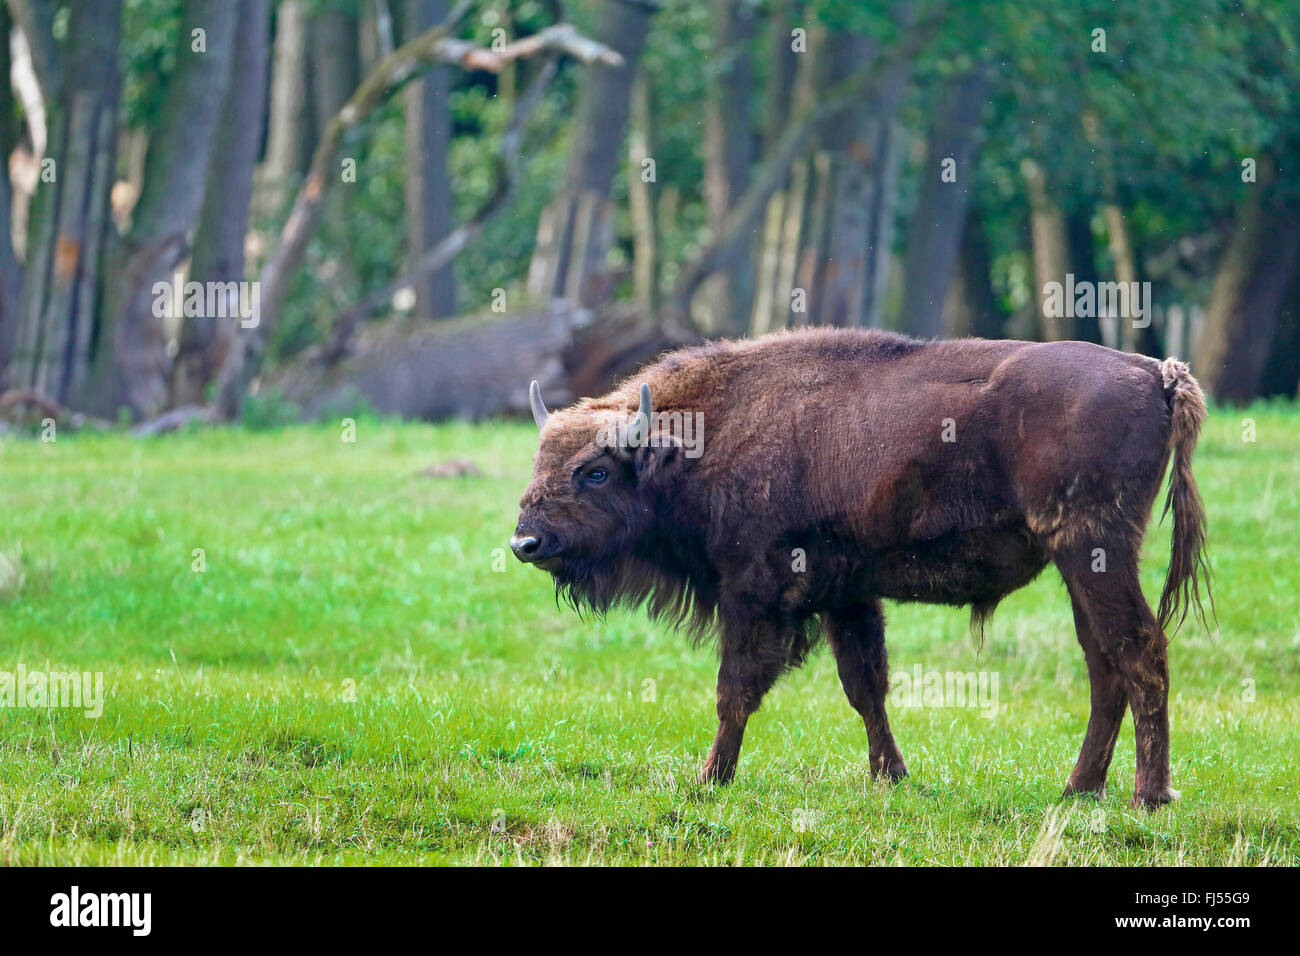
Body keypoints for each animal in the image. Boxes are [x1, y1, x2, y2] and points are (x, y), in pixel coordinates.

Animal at [511, 328, 1212, 808]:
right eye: (540, 460)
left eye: (594, 471)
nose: (526, 542)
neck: (694, 441)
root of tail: (1157, 373)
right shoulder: (846, 597)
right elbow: (865, 685)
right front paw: (890, 775)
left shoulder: (753, 594)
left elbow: (735, 689)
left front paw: (709, 778)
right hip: (1082, 565)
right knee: (1105, 663)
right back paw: (1079, 789)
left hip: (1095, 553)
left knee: (1140, 652)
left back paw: (1148, 796)